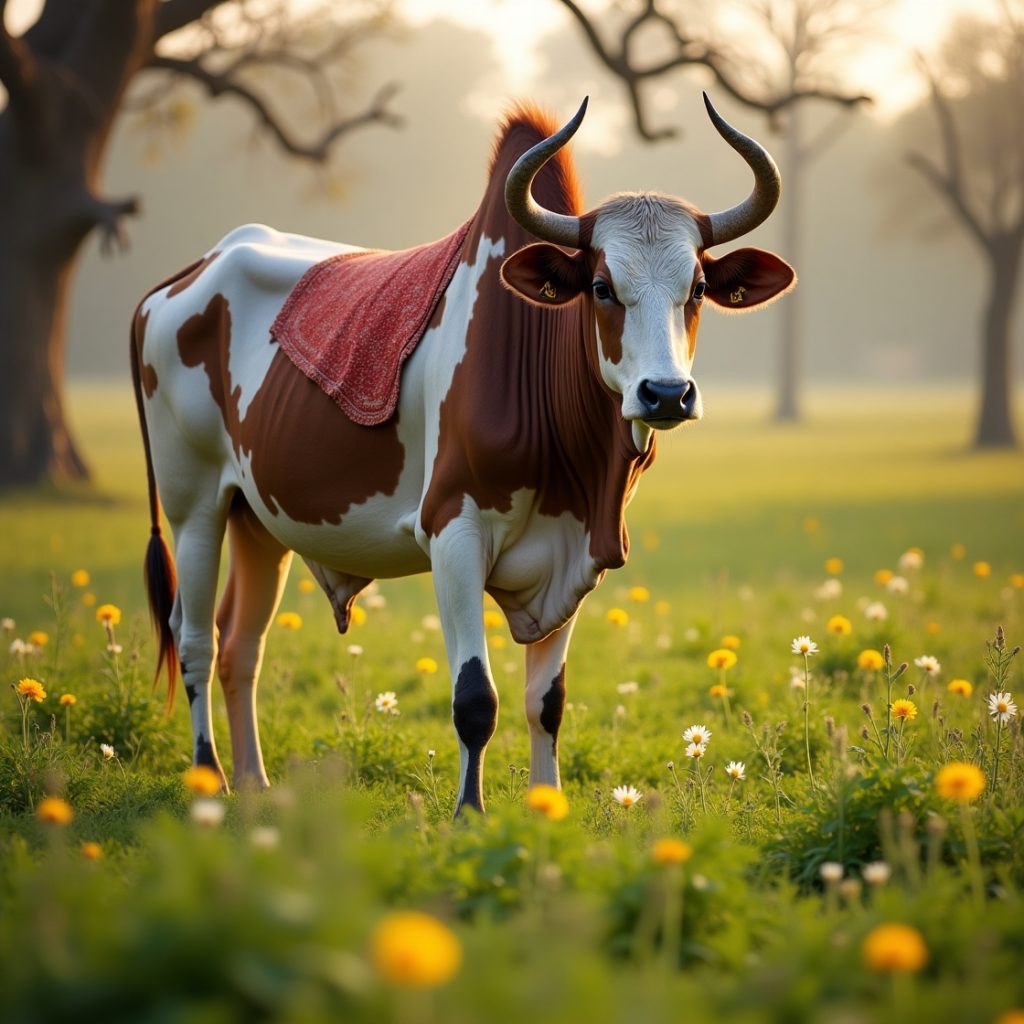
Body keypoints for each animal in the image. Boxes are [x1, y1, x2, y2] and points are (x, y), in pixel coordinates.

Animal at [131, 94, 795, 814]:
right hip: (195, 506)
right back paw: (210, 776)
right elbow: (476, 698)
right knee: (195, 640)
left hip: (258, 521)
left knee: (240, 647)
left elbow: (547, 702)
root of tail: (185, 276)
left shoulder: (577, 557)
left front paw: (545, 807)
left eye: (697, 288)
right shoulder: (453, 534)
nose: (666, 393)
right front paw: (469, 814)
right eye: (601, 286)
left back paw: (254, 783)